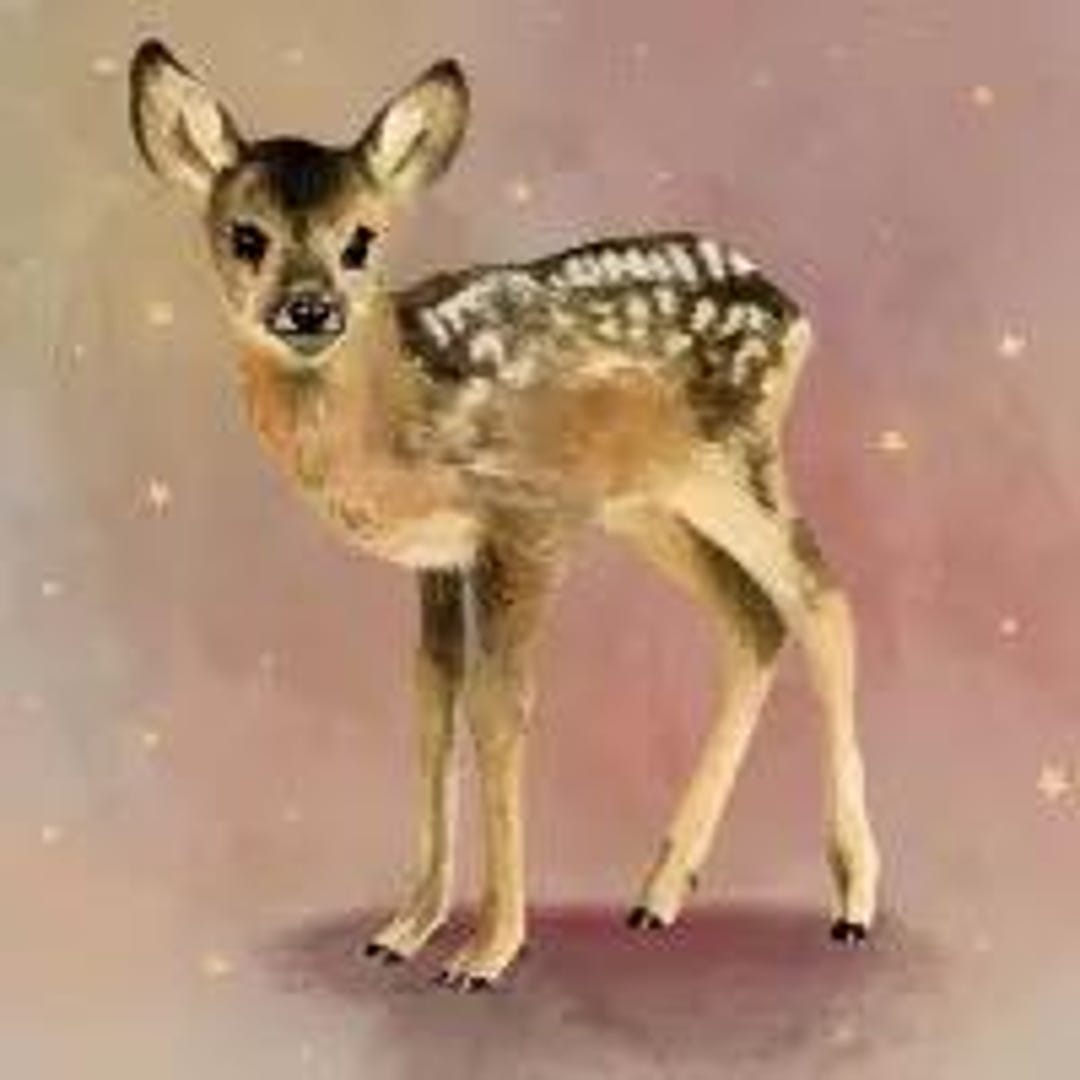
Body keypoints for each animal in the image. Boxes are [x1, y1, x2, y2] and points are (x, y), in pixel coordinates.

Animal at [128, 38, 880, 992]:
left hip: (735, 459)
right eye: (245, 237)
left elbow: (499, 708)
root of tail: (794, 312)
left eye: (360, 240)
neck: (399, 408)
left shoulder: (525, 522)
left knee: (822, 599)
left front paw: (487, 951)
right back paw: (659, 893)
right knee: (753, 618)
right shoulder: (442, 557)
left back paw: (852, 899)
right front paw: (405, 929)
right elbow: (432, 706)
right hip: (648, 504)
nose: (309, 309)